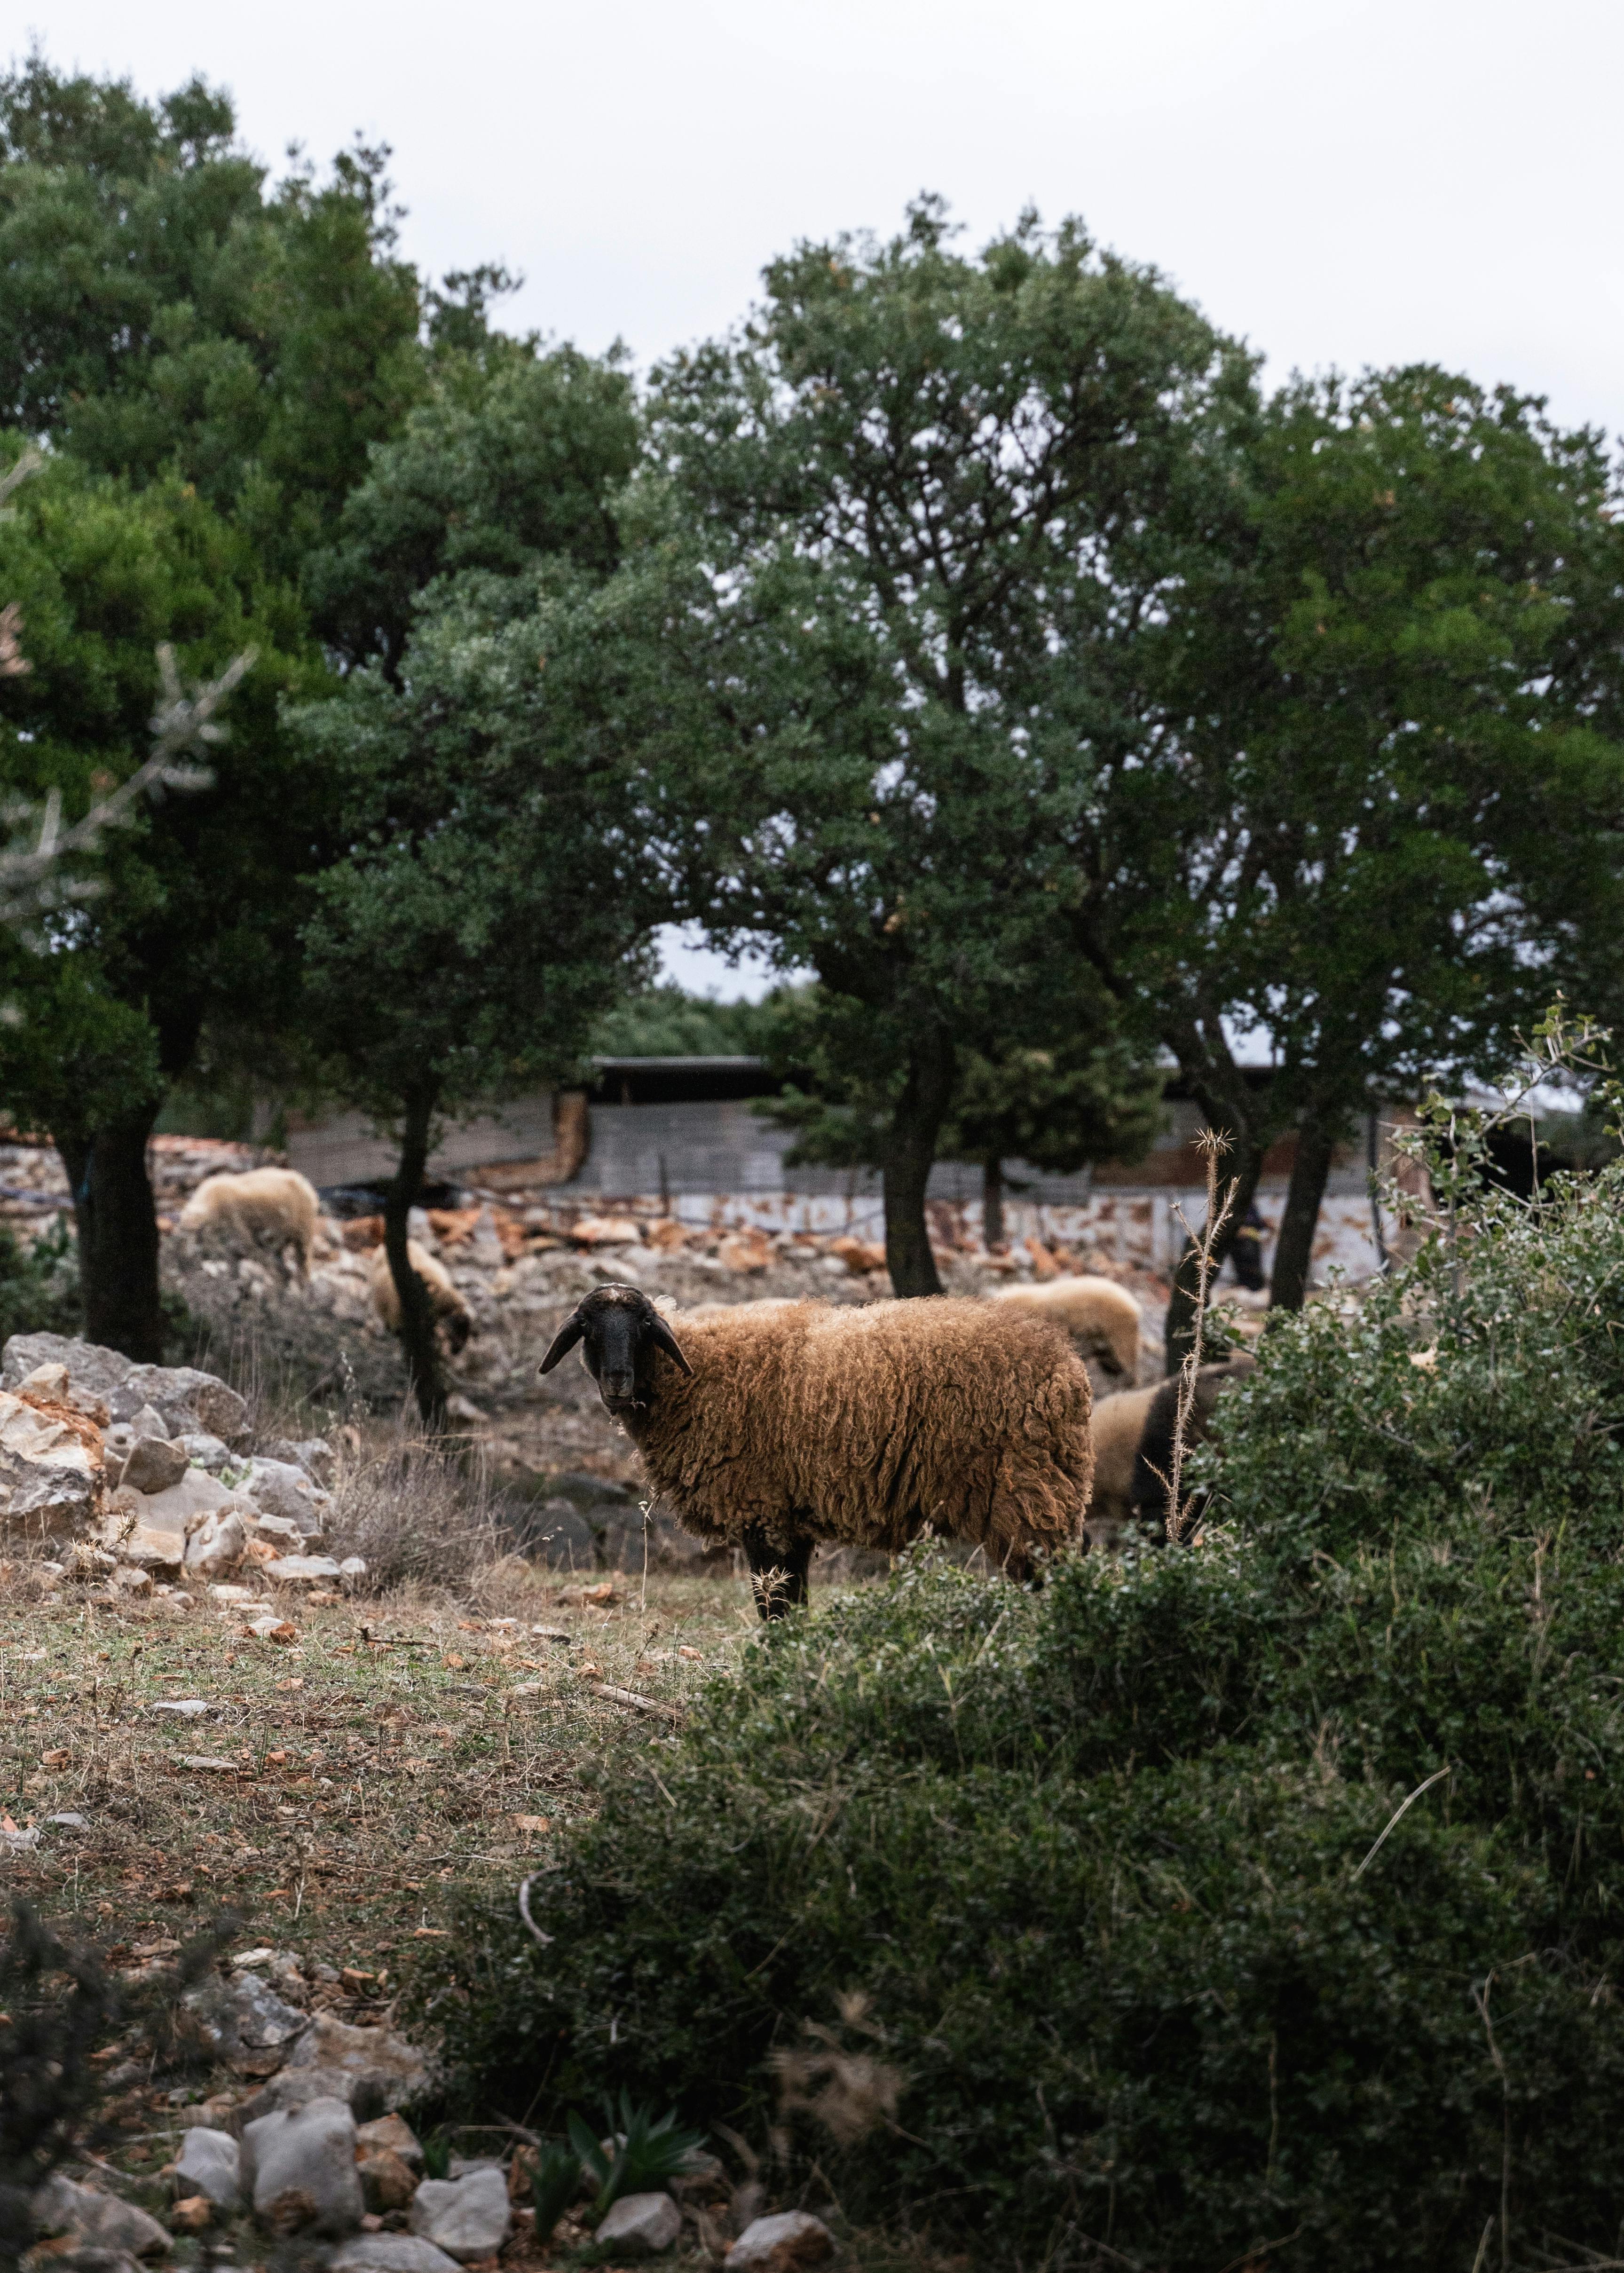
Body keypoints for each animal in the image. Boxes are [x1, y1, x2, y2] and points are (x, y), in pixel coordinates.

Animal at [178, 1168, 321, 1278]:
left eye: (194, 1232)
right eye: (182, 1234)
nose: (186, 1260)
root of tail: (308, 1188)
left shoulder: (237, 1228)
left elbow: (253, 1252)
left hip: (304, 1231)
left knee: (304, 1262)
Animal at [540, 1284, 1093, 1617]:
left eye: (643, 1329)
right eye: (587, 1329)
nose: (617, 1380)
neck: (694, 1376)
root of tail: (1068, 1367)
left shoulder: (762, 1512)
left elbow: (776, 1607)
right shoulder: (792, 1520)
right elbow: (795, 1604)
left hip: (1029, 1492)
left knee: (1051, 1574)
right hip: (1046, 1491)